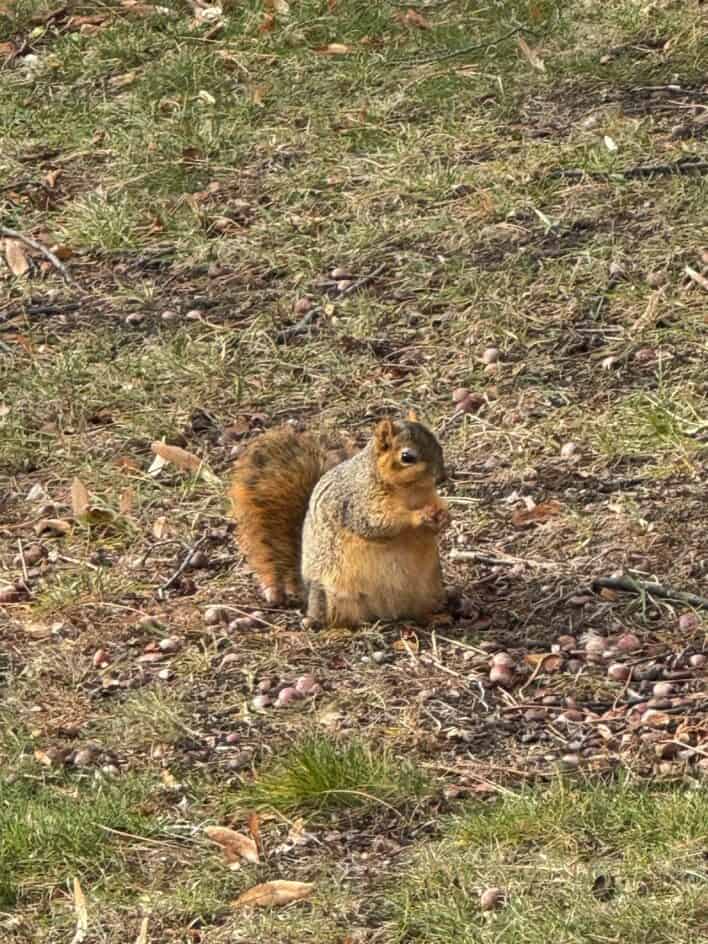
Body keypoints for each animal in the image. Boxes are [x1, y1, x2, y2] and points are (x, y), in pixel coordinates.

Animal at [229, 412, 449, 627]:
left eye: (438, 445)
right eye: (407, 457)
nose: (442, 478)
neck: (410, 492)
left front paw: (445, 516)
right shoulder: (357, 503)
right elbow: (378, 523)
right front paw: (418, 516)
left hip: (429, 588)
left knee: (414, 612)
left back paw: (433, 617)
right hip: (330, 595)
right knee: (333, 617)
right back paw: (319, 623)